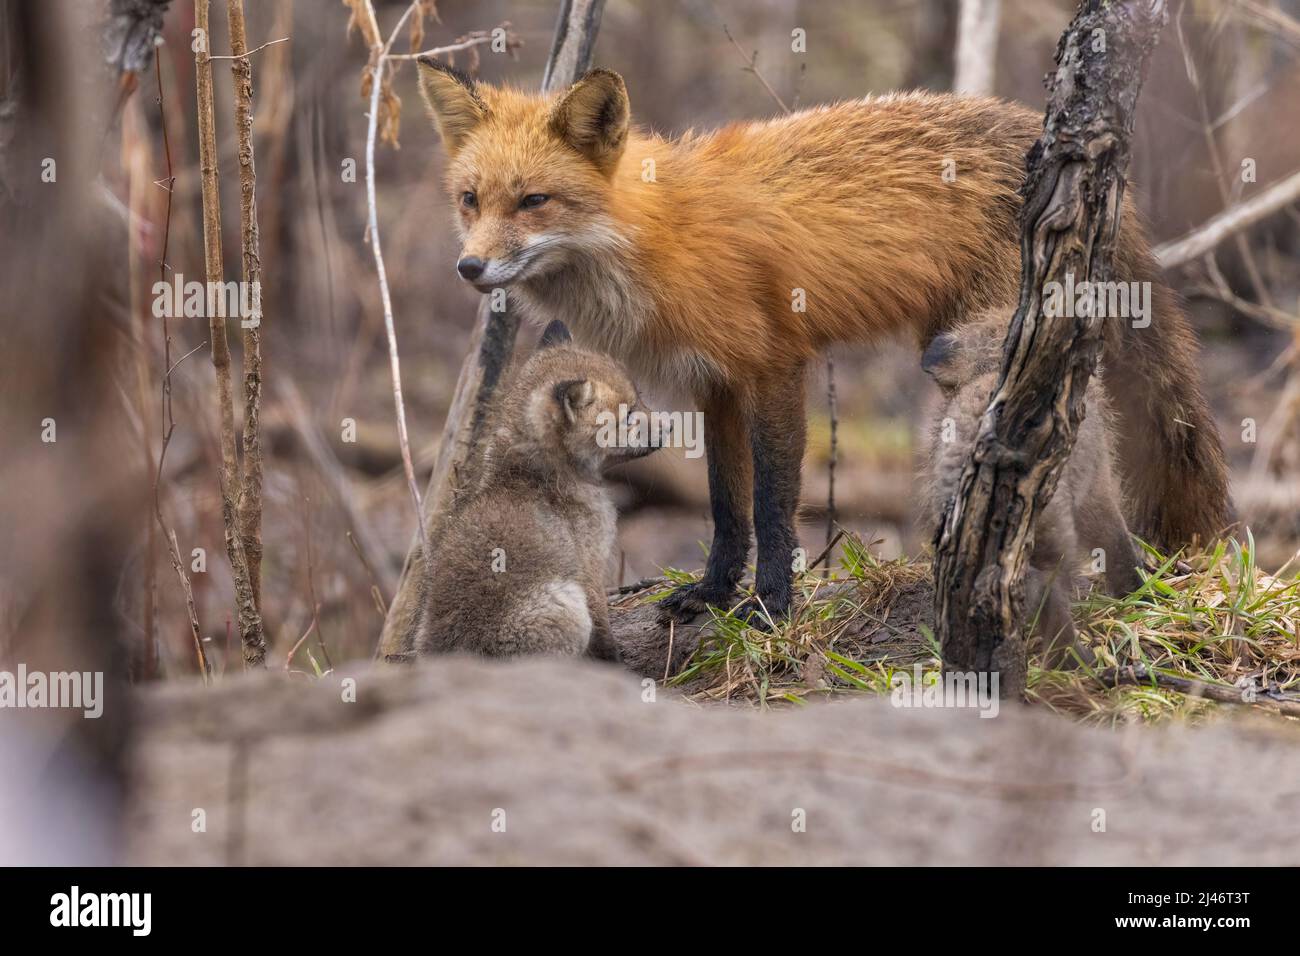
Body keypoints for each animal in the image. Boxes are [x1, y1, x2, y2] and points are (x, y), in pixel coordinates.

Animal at [416, 59, 1232, 624]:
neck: (655, 240)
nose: (467, 268)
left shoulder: (775, 365)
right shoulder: (714, 384)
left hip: (997, 347)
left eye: (534, 201)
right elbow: (726, 507)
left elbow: (776, 507)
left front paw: (771, 607)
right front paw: (713, 593)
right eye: (470, 200)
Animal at [416, 320, 659, 660]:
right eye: (628, 416)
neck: (526, 475)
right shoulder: (590, 565)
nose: (671, 427)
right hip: (567, 606)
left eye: (640, 398)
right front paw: (615, 661)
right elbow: (603, 627)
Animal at [921, 309, 1143, 666]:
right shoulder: (1097, 488)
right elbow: (1119, 546)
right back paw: (1072, 659)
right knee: (1042, 591)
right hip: (1052, 540)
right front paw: (1141, 591)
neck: (994, 368)